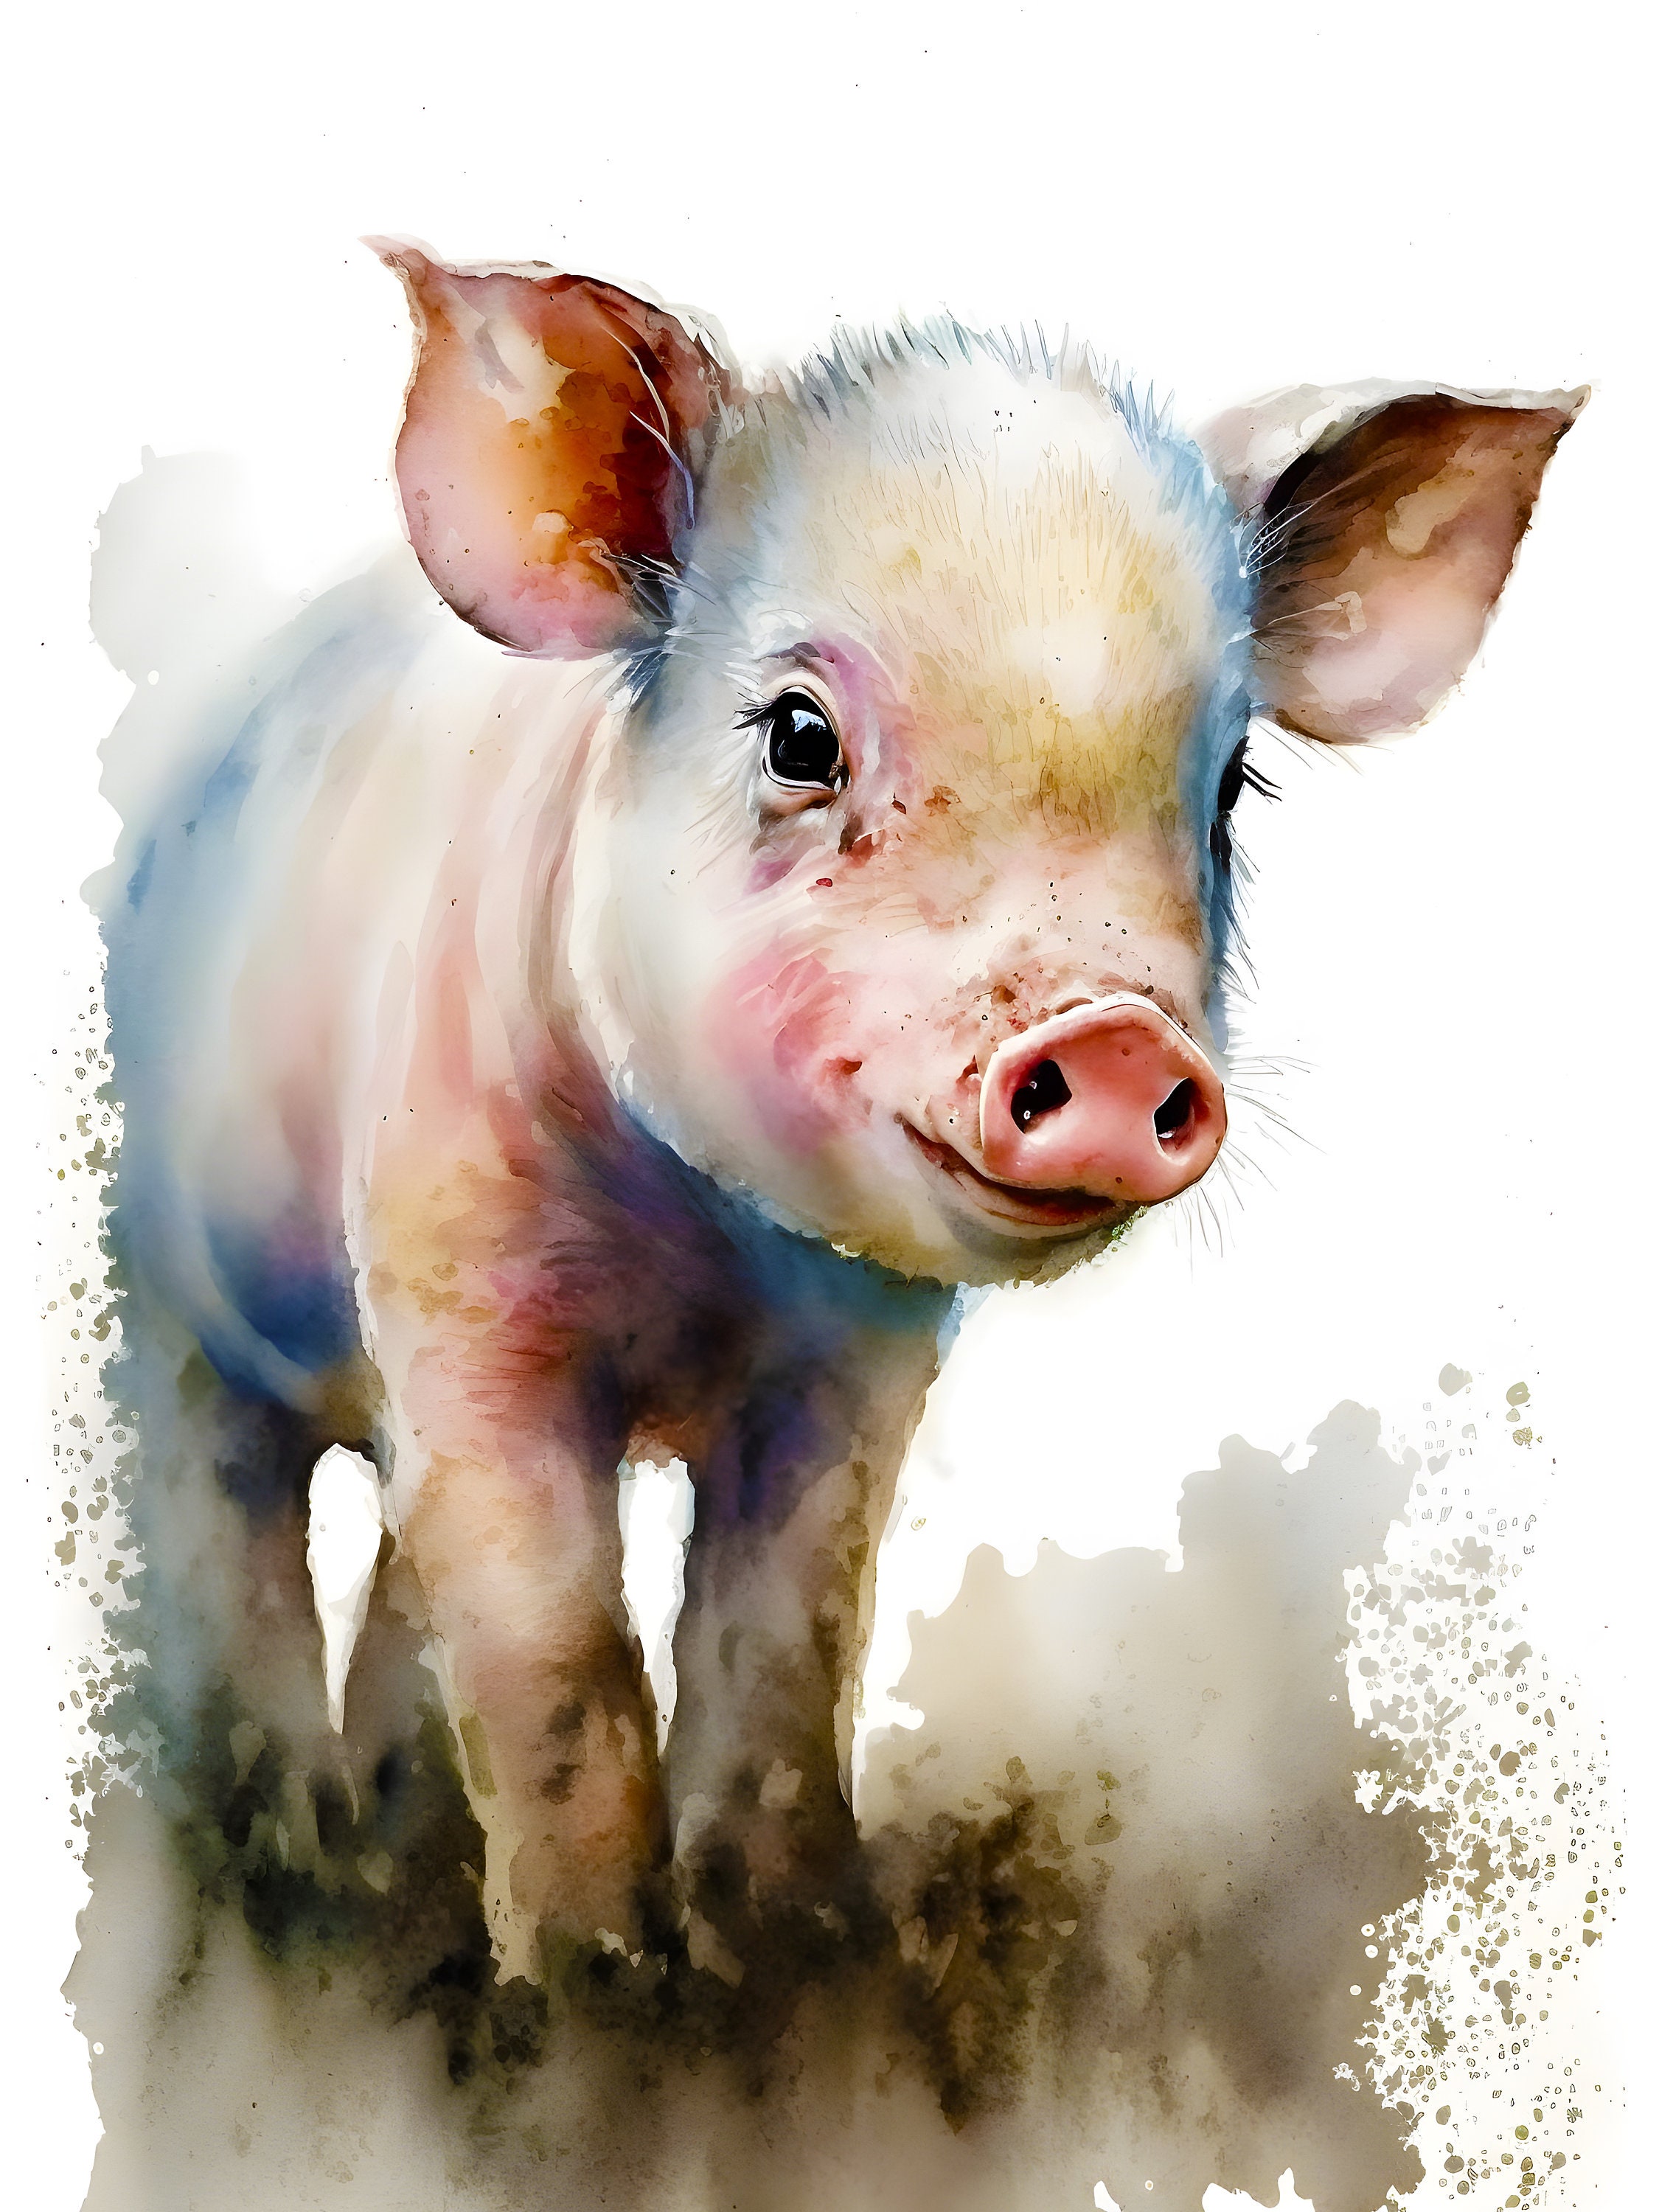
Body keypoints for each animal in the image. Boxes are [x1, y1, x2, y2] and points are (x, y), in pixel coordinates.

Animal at [99, 243, 1580, 1998]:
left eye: (1229, 790)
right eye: (800, 735)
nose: (1114, 1035)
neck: (708, 1257)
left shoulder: (861, 1359)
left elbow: (784, 1622)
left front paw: (795, 1959)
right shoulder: (450, 1274)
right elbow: (553, 1650)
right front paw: (591, 1998)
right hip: (162, 1286)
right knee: (224, 1516)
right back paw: (271, 1857)